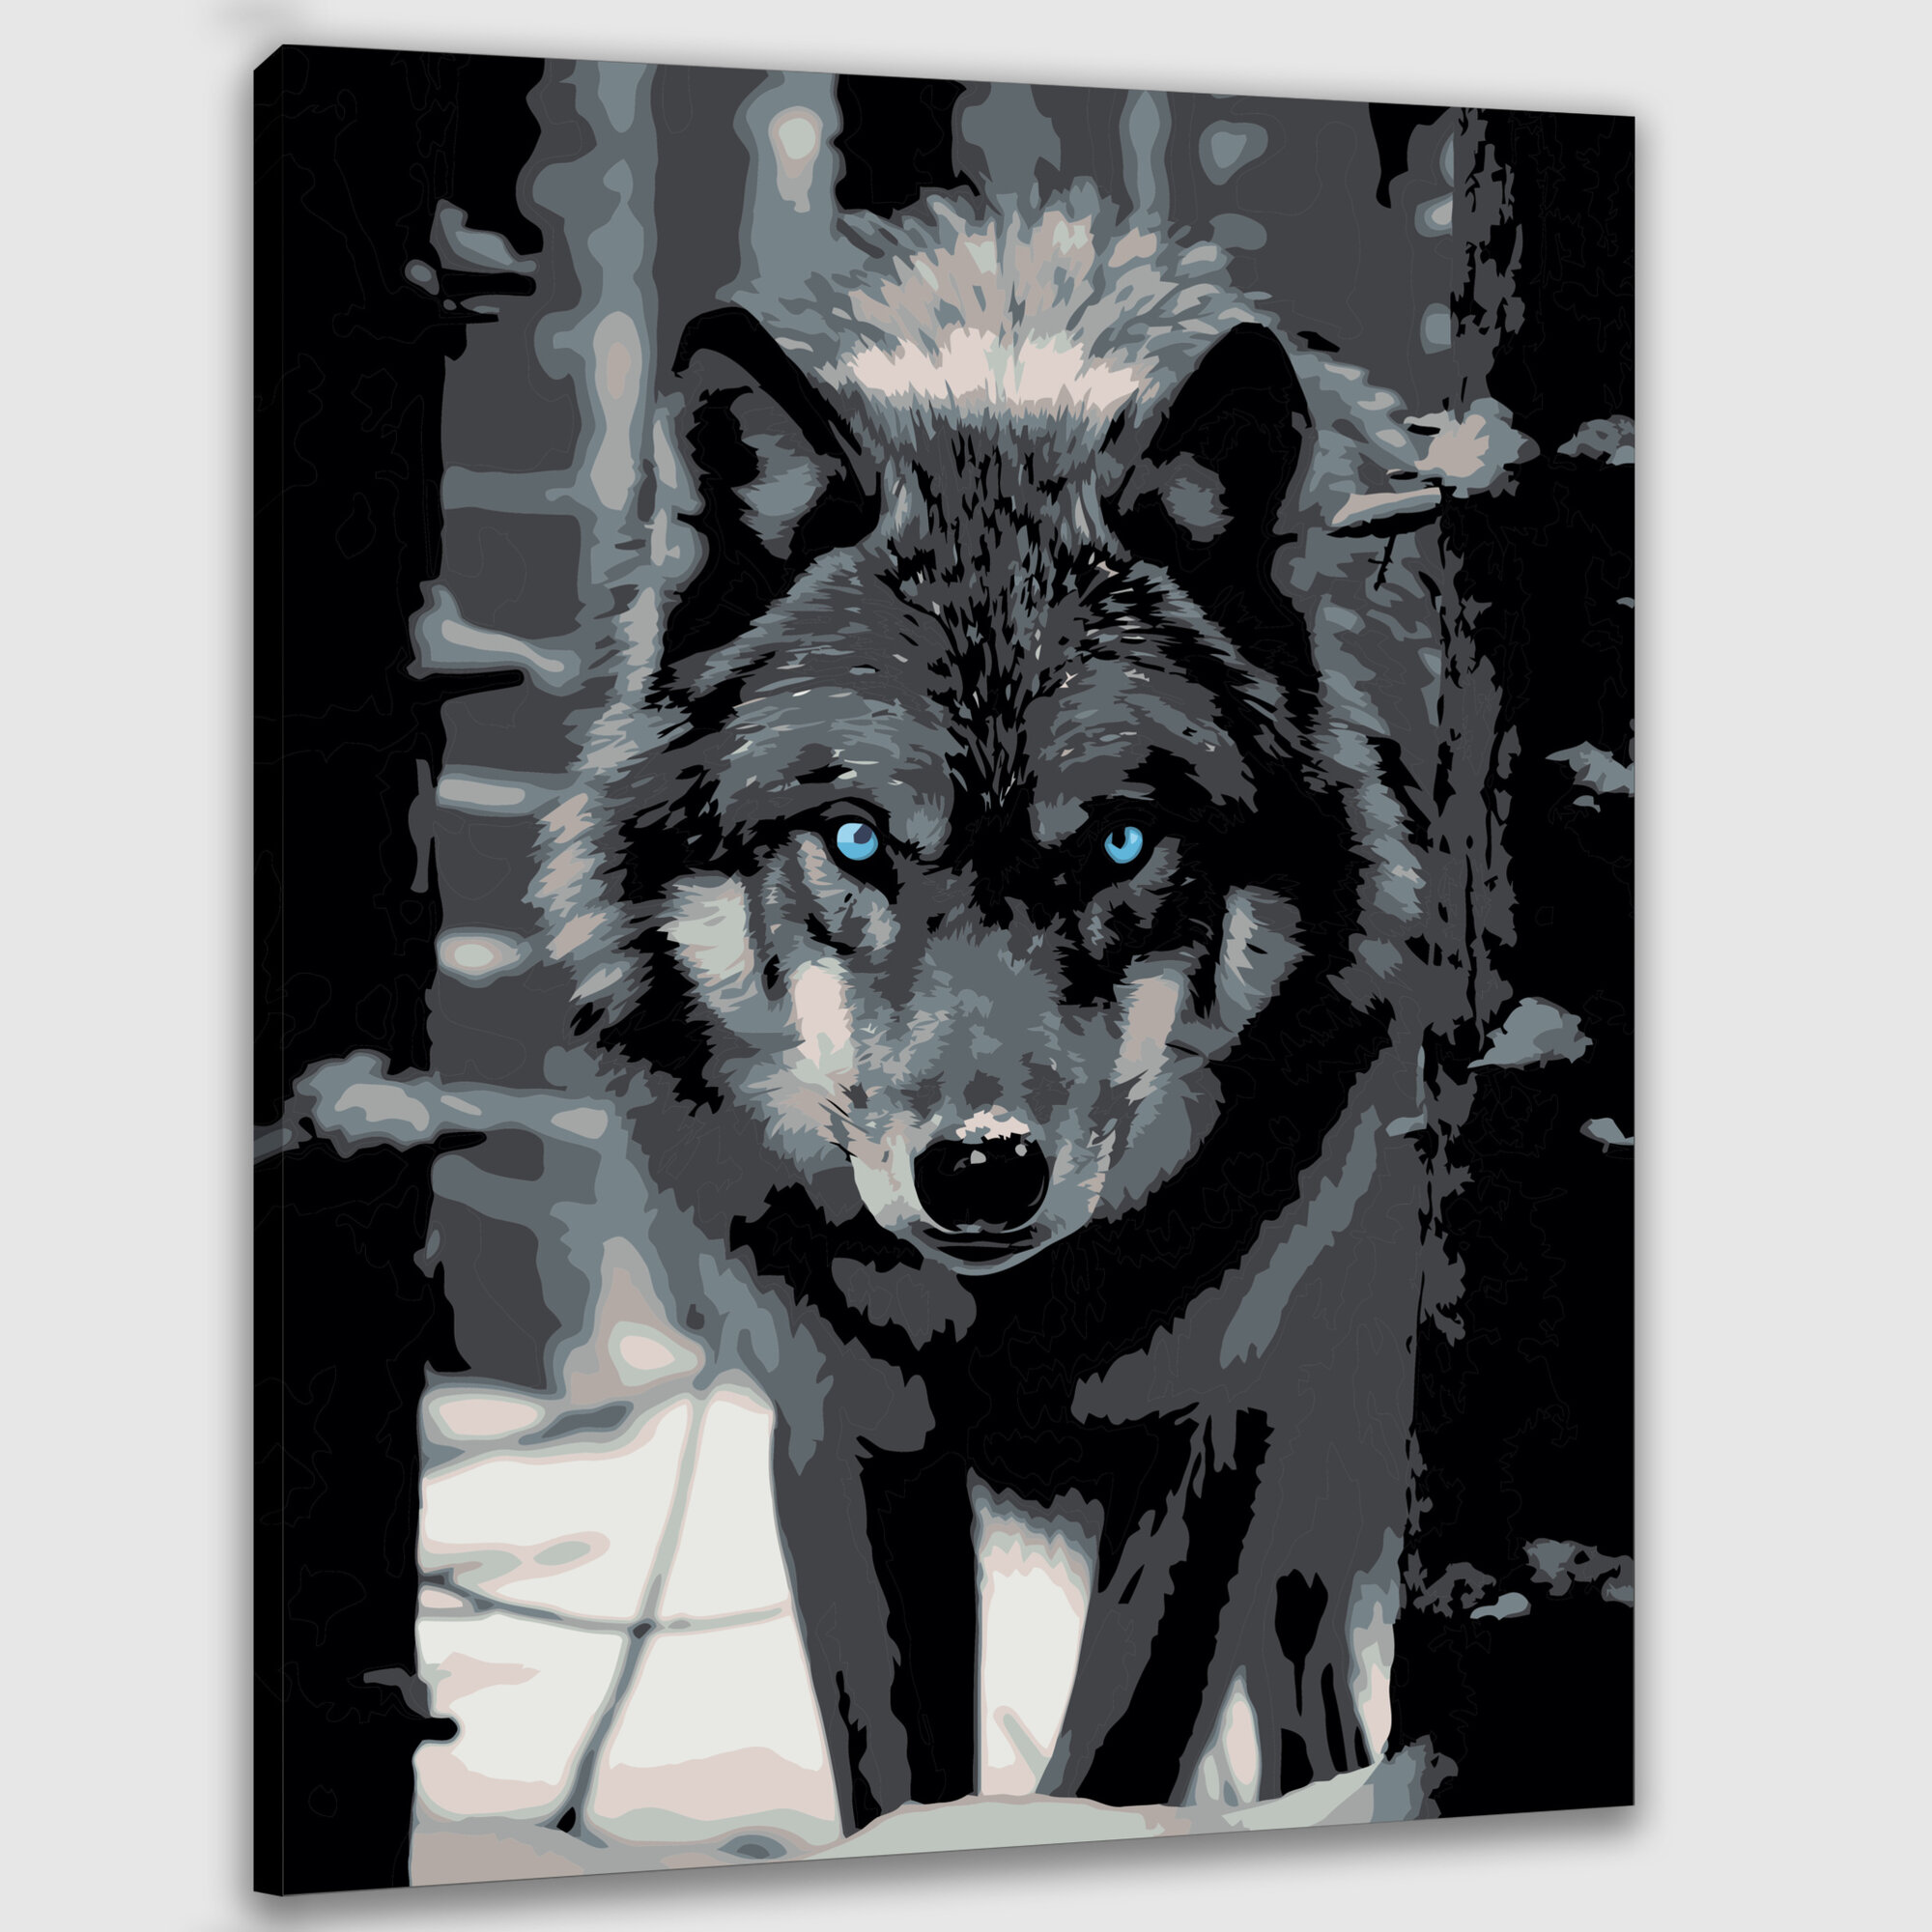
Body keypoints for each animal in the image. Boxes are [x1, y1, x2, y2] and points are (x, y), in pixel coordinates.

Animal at [533, 192, 1435, 1832]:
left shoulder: (1221, 1424)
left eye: (1122, 845)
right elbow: (896, 1779)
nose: (982, 1170)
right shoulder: (845, 1426)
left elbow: (1121, 1757)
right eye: (858, 840)